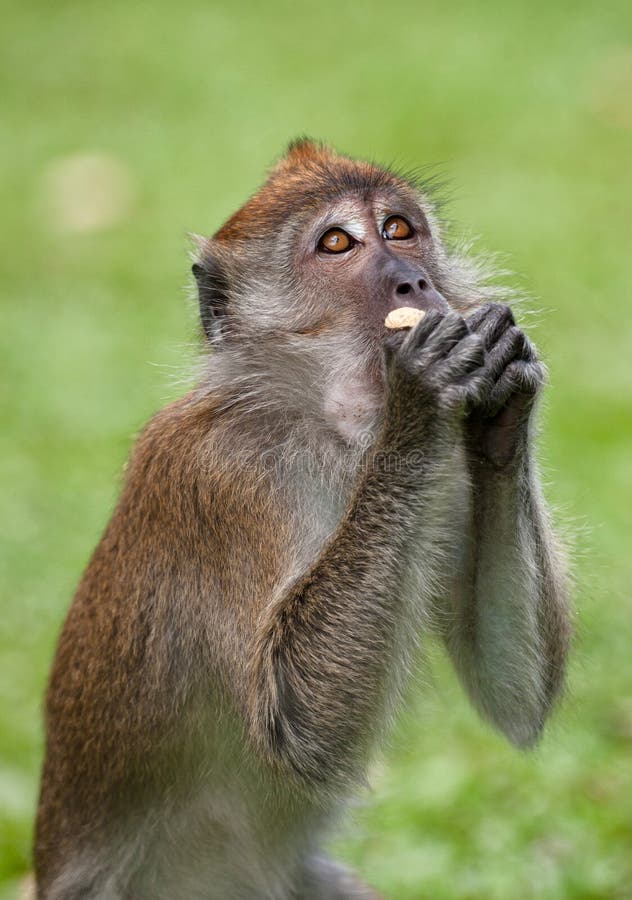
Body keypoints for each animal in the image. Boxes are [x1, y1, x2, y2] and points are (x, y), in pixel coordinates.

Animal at [34, 139, 571, 900]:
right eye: (338, 243)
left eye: (400, 229)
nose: (413, 280)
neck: (329, 427)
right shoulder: (226, 481)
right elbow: (295, 724)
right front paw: (418, 398)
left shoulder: (449, 483)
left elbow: (513, 697)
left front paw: (505, 401)